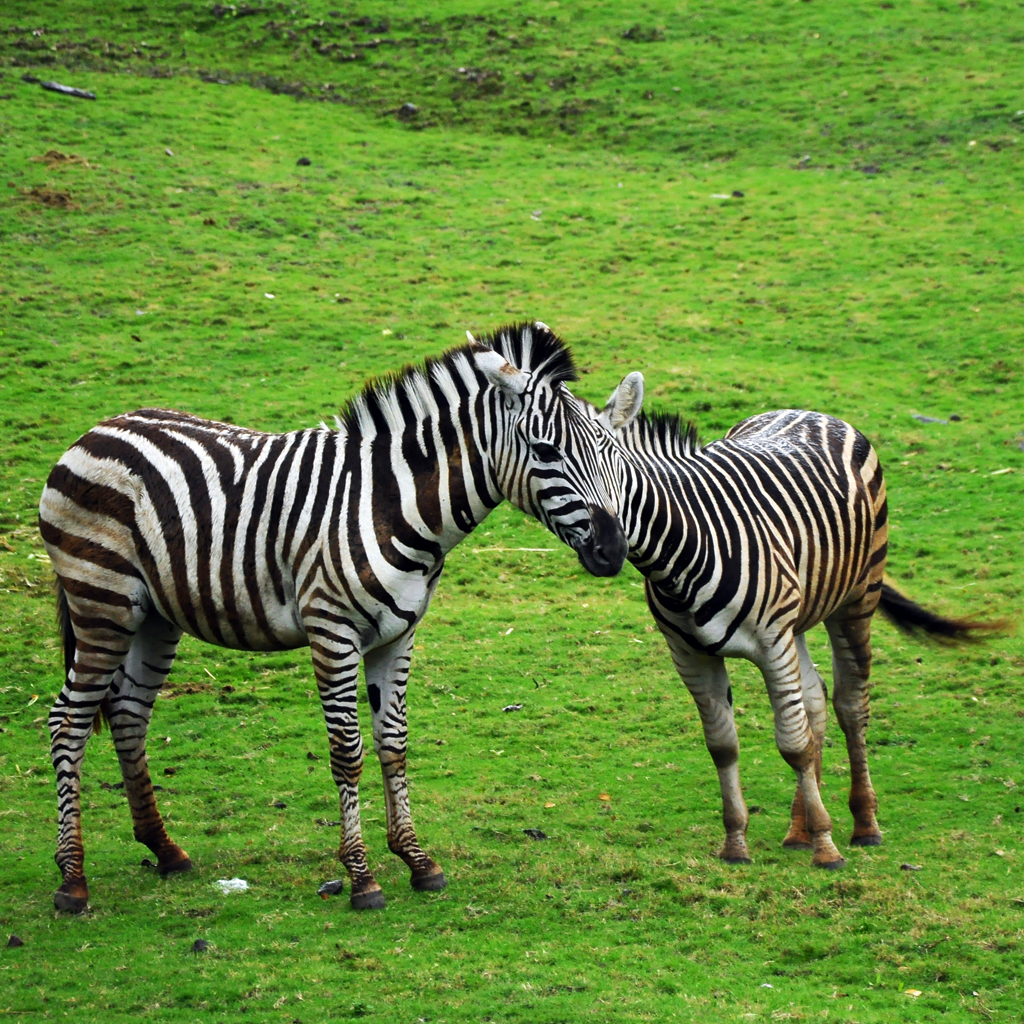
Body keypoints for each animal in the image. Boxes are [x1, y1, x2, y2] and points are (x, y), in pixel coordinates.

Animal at [40, 321, 629, 913]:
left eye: (609, 449)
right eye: (546, 450)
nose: (614, 550)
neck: (393, 504)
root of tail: (97, 430)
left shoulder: (399, 636)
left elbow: (394, 742)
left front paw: (417, 860)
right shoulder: (332, 630)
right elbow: (348, 752)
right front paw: (362, 877)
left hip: (154, 618)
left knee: (128, 714)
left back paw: (164, 850)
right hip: (101, 603)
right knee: (68, 721)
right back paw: (71, 880)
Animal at [579, 373, 998, 869]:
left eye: (599, 458)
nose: (604, 551)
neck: (683, 549)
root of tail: (810, 411)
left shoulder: (771, 643)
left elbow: (793, 744)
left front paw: (827, 848)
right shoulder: (688, 653)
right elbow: (724, 745)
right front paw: (737, 843)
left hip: (855, 598)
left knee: (850, 705)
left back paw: (864, 824)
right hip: (795, 623)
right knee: (814, 702)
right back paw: (799, 828)